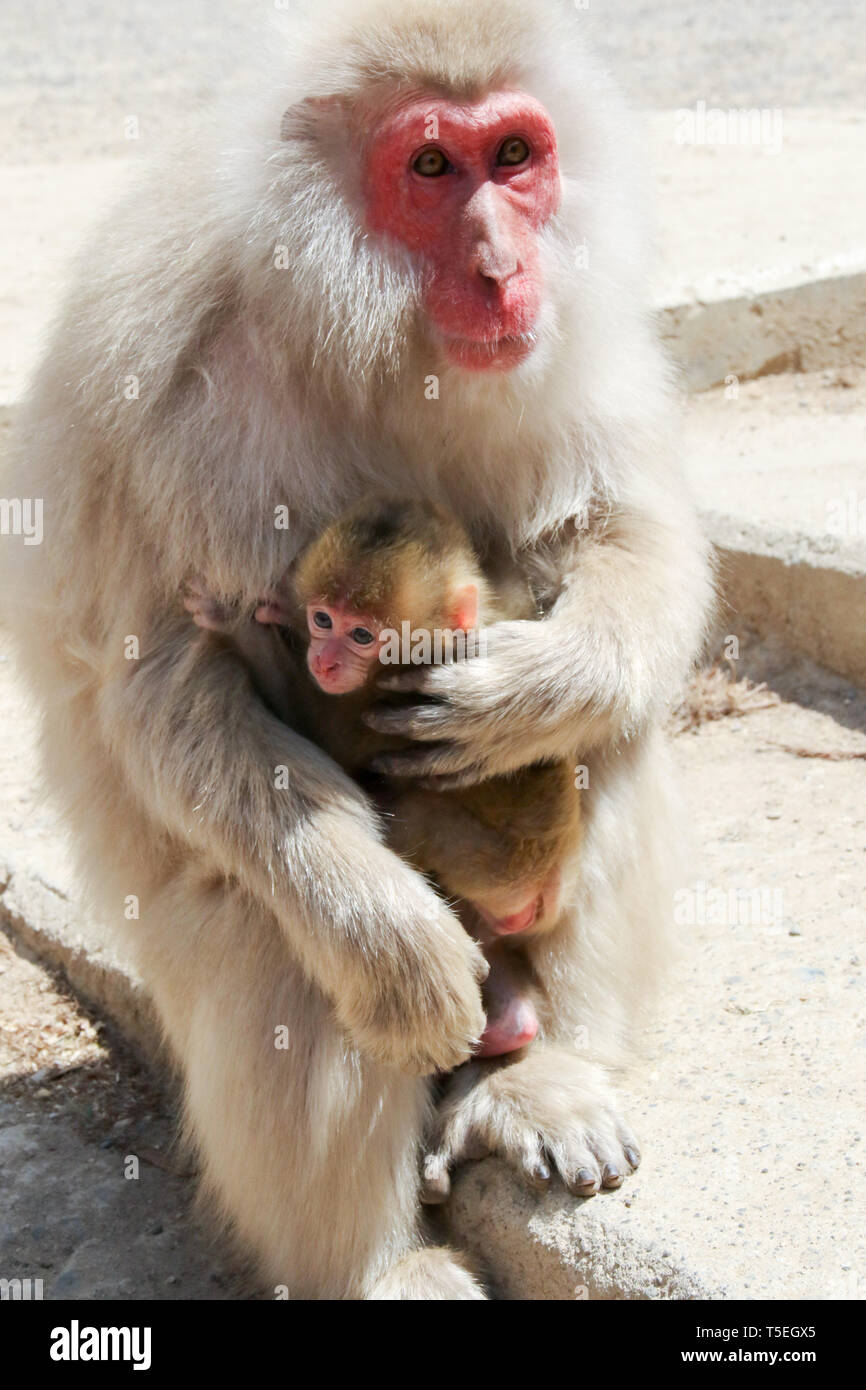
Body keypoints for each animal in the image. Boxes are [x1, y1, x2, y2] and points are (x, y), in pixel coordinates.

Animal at [184, 497, 584, 1058]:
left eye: (361, 635)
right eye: (323, 619)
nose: (324, 660)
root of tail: (548, 881)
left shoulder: (384, 696)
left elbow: (322, 737)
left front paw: (232, 624)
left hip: (485, 859)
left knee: (414, 808)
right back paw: (510, 1024)